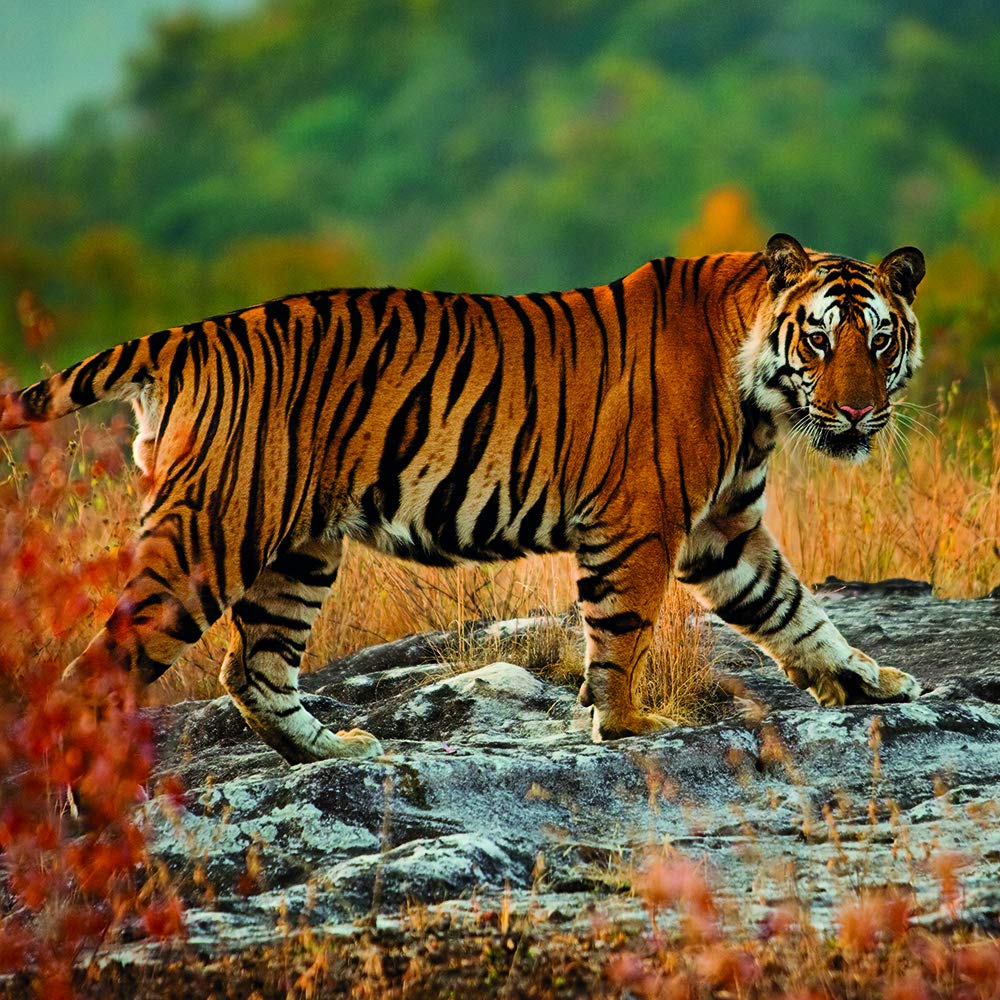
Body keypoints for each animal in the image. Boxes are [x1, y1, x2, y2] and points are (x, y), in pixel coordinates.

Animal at [0, 233, 925, 764]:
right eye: (821, 339)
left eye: (880, 341)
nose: (856, 412)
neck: (763, 398)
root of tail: (190, 333)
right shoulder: (641, 523)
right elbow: (623, 633)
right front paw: (628, 727)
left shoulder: (722, 530)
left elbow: (794, 609)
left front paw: (867, 679)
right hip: (212, 534)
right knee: (101, 671)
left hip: (298, 549)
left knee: (252, 666)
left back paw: (335, 752)